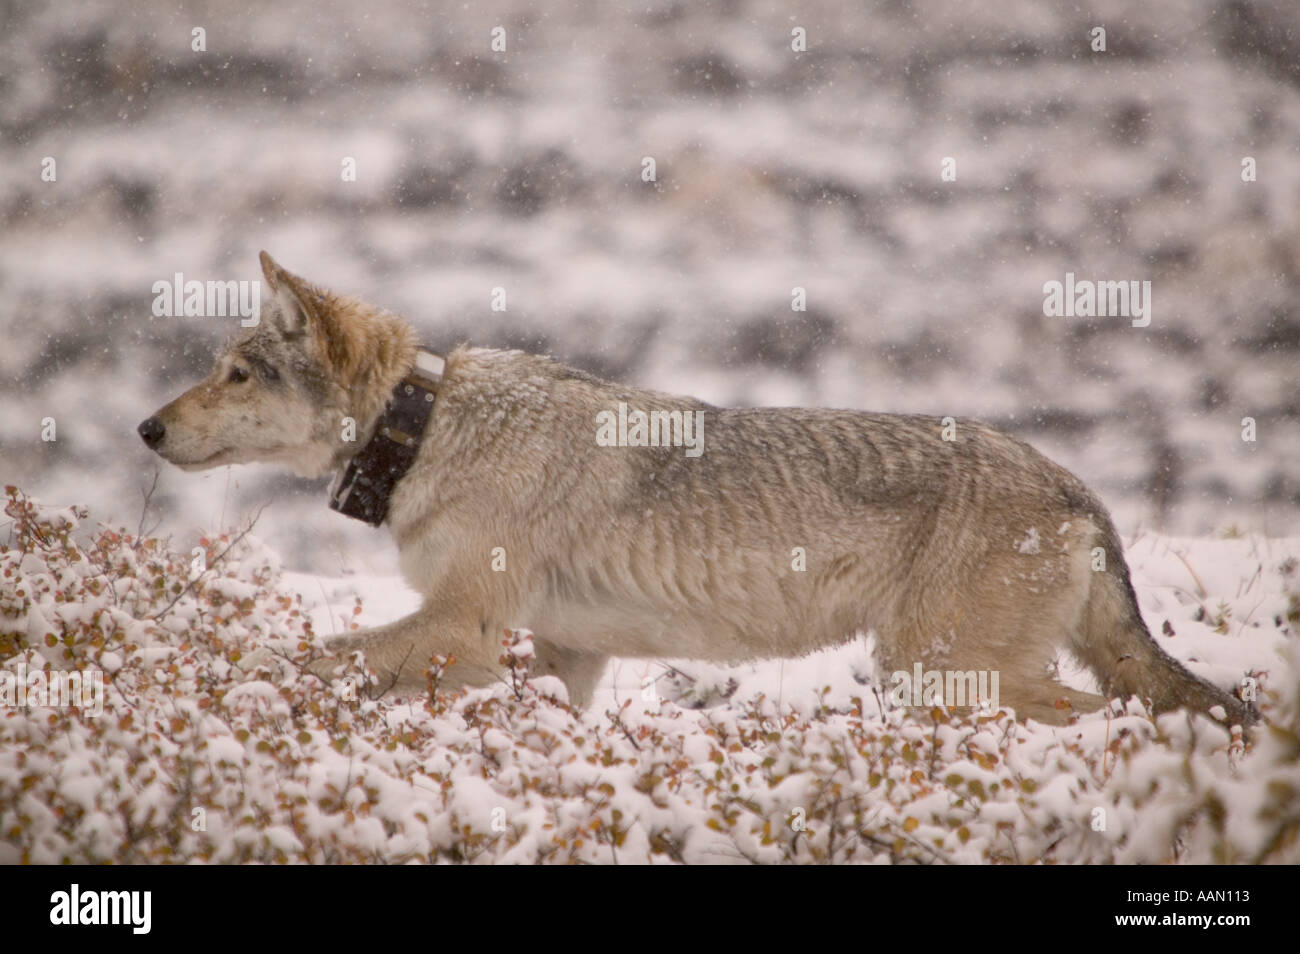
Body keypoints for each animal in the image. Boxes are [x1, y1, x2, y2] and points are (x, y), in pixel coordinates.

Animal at [138, 252, 1256, 727]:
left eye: (236, 374)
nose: (145, 429)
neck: (428, 429)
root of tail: (1078, 488)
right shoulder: (561, 655)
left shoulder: (459, 629)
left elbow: (301, 657)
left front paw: (225, 687)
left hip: (943, 676)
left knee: (1123, 718)